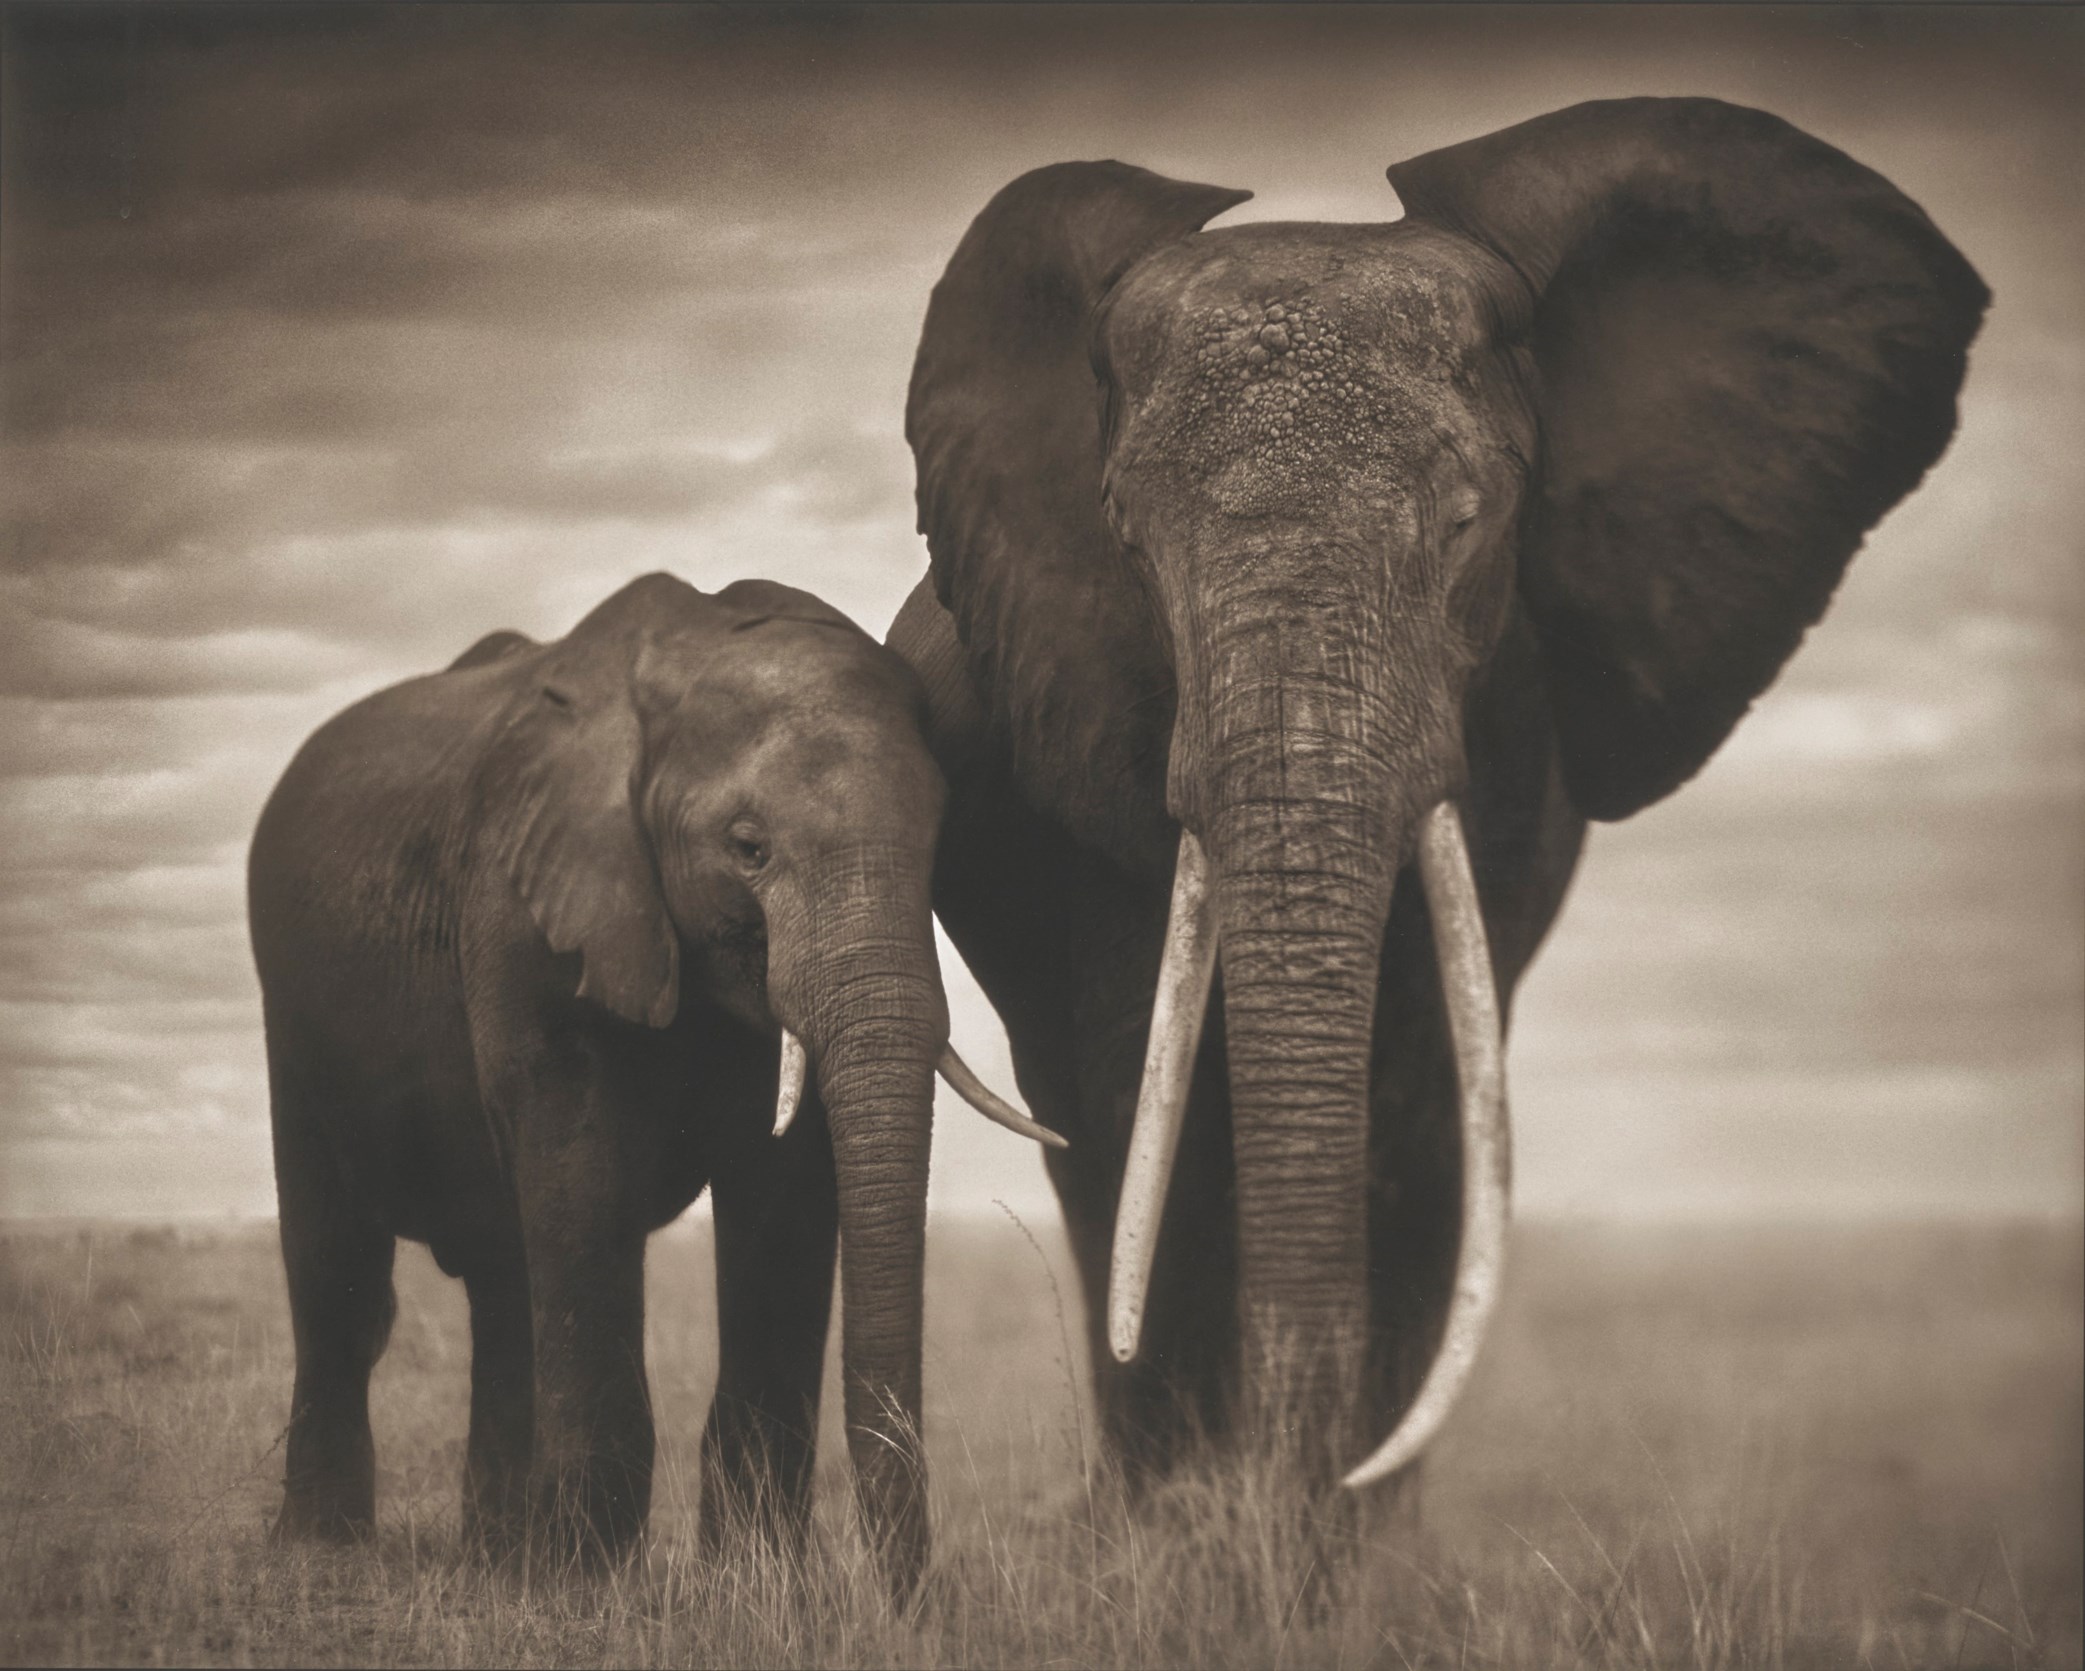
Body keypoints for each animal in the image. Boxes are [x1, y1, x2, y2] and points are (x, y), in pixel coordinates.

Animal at [248, 571, 1054, 1597]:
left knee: (503, 1278)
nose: (904, 1594)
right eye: (747, 847)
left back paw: (497, 1558)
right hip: (294, 1016)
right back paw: (332, 1551)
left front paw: (755, 1575)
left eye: (939, 849)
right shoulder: (528, 912)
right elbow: (582, 1167)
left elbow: (786, 1193)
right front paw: (586, 1585)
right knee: (340, 1273)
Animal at [887, 98, 1987, 1492]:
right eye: (1130, 542)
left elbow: (1421, 1121)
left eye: (1468, 524)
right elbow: (1148, 1106)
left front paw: (1339, 1518)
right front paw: (1217, 1525)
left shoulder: (1512, 748)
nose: (1302, 1487)